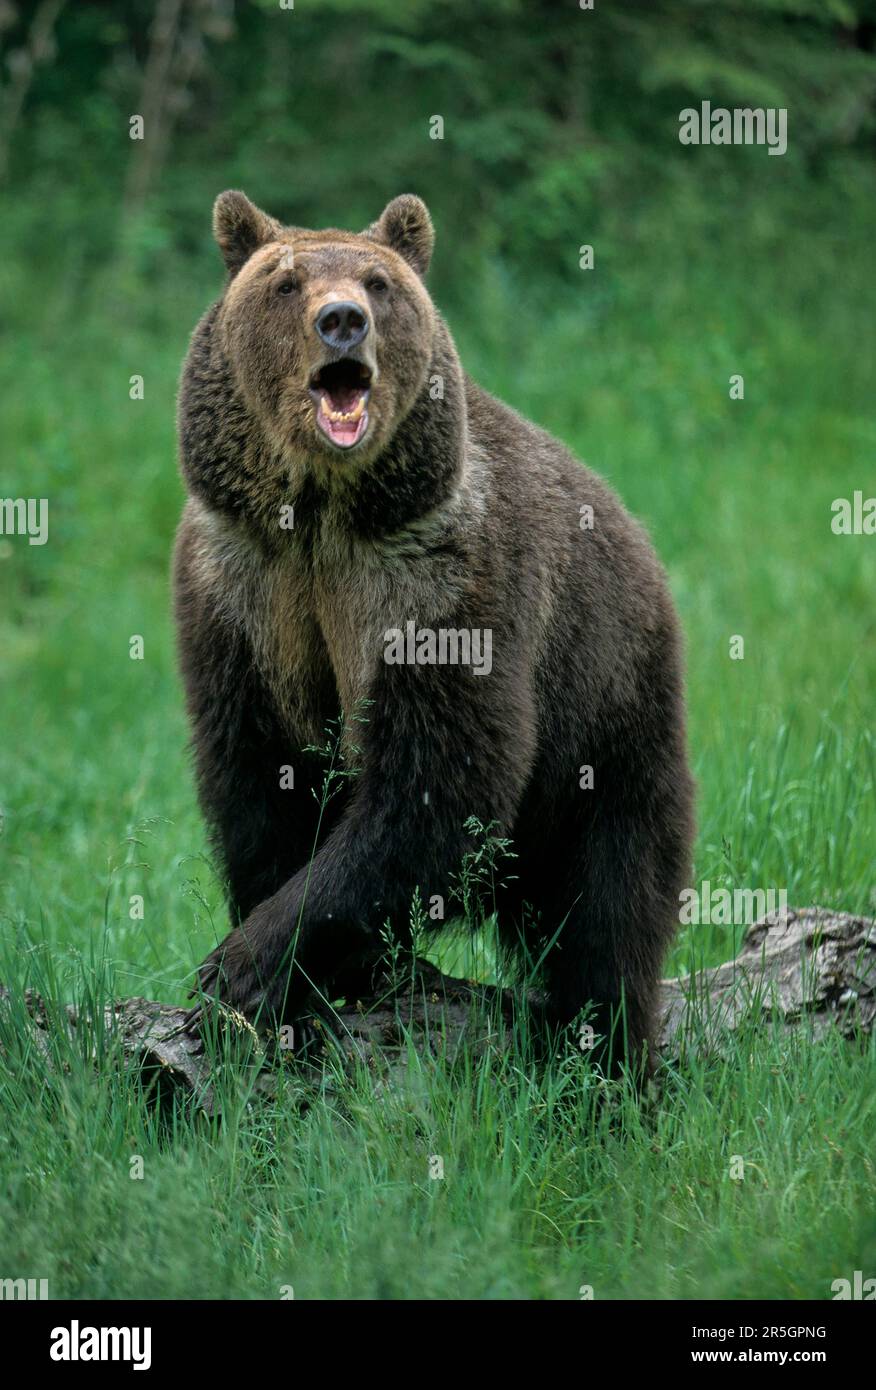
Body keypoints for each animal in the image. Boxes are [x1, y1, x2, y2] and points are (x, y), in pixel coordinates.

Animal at [174, 189, 695, 1071]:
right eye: (285, 283)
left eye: (378, 284)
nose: (342, 321)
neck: (321, 518)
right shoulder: (241, 591)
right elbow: (254, 776)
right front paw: (295, 985)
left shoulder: (443, 583)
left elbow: (439, 778)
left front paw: (248, 967)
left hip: (607, 714)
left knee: (611, 905)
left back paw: (608, 1057)